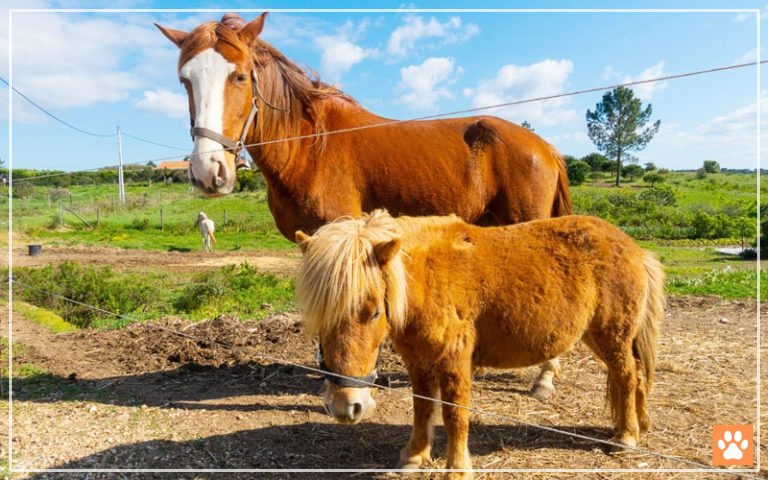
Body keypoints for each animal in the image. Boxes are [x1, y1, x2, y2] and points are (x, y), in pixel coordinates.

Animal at [295, 210, 664, 478]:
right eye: (319, 318)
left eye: (373, 312)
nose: (346, 407)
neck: (428, 280)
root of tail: (634, 248)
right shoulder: (419, 363)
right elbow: (422, 409)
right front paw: (414, 456)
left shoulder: (455, 363)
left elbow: (454, 415)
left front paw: (456, 469)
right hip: (597, 337)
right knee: (632, 378)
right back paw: (633, 426)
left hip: (612, 337)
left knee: (627, 376)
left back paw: (626, 437)